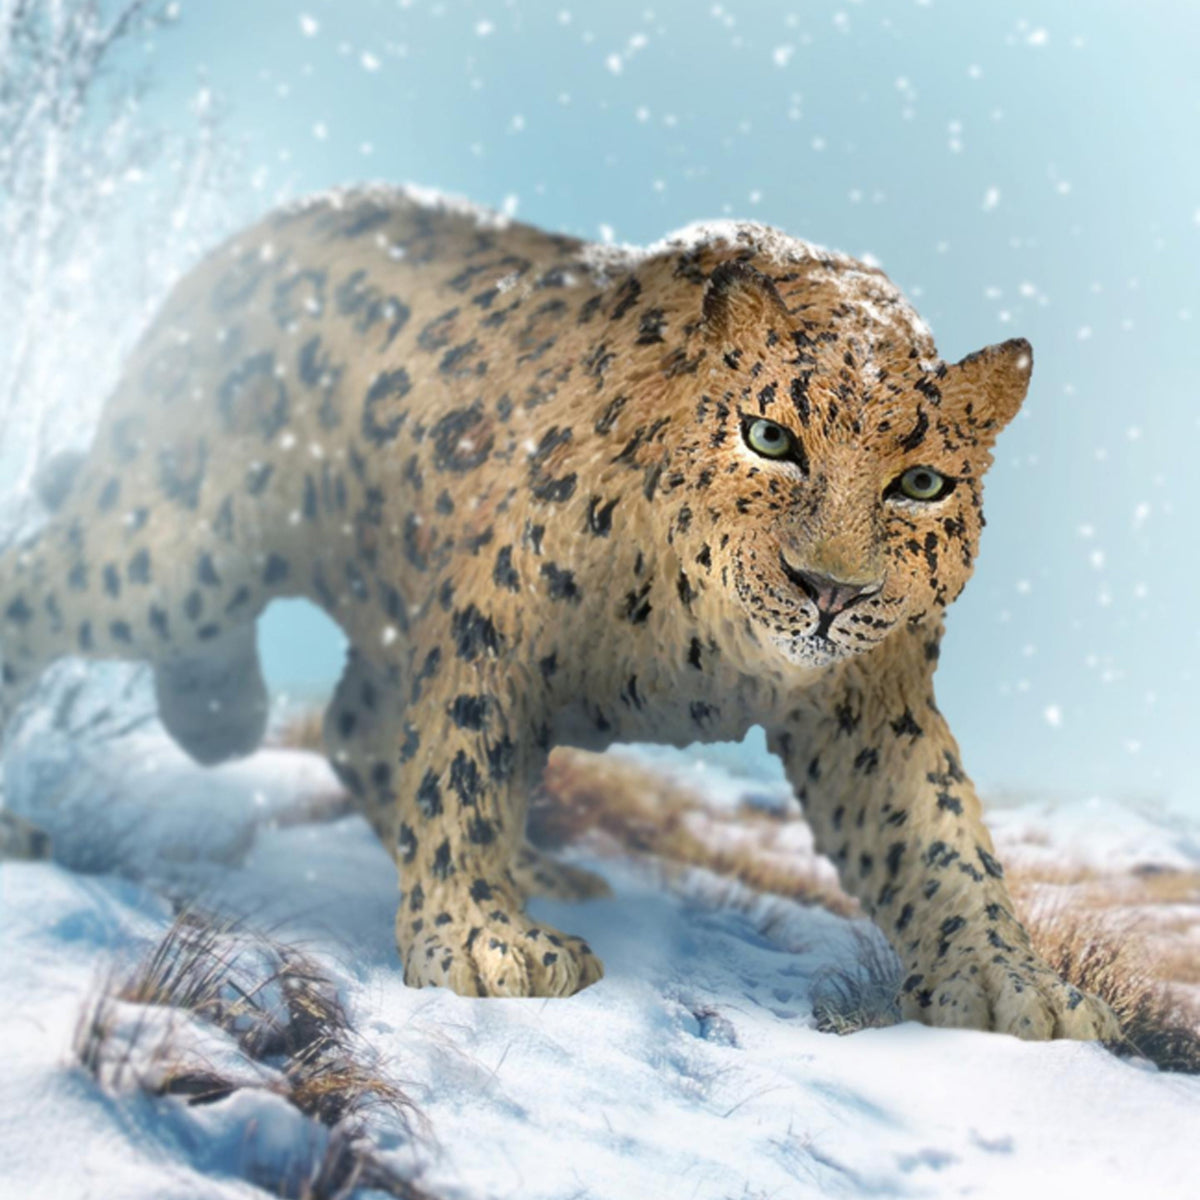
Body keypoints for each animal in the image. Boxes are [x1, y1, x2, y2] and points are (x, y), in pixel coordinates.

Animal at [0, 184, 1119, 1040]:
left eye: (922, 483)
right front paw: (481, 941)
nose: (830, 587)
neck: (709, 649)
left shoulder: (873, 702)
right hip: (174, 556)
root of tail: (222, 258)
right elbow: (463, 764)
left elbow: (934, 835)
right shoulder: (491, 625)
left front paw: (1011, 984)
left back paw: (546, 868)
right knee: (38, 583)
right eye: (770, 437)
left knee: (358, 724)